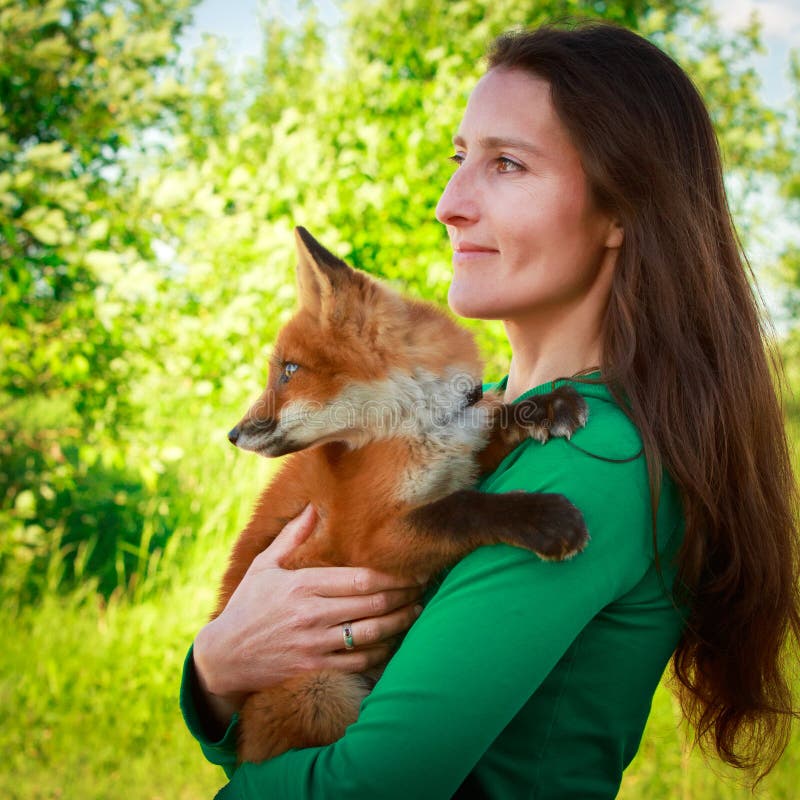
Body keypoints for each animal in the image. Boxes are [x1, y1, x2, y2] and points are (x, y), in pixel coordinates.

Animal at [213, 227, 590, 763]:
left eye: (288, 370)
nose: (232, 434)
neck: (417, 427)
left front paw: (547, 405)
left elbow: (497, 417)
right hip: (321, 694)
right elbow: (462, 509)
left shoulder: (463, 443)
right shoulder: (369, 541)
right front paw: (544, 517)